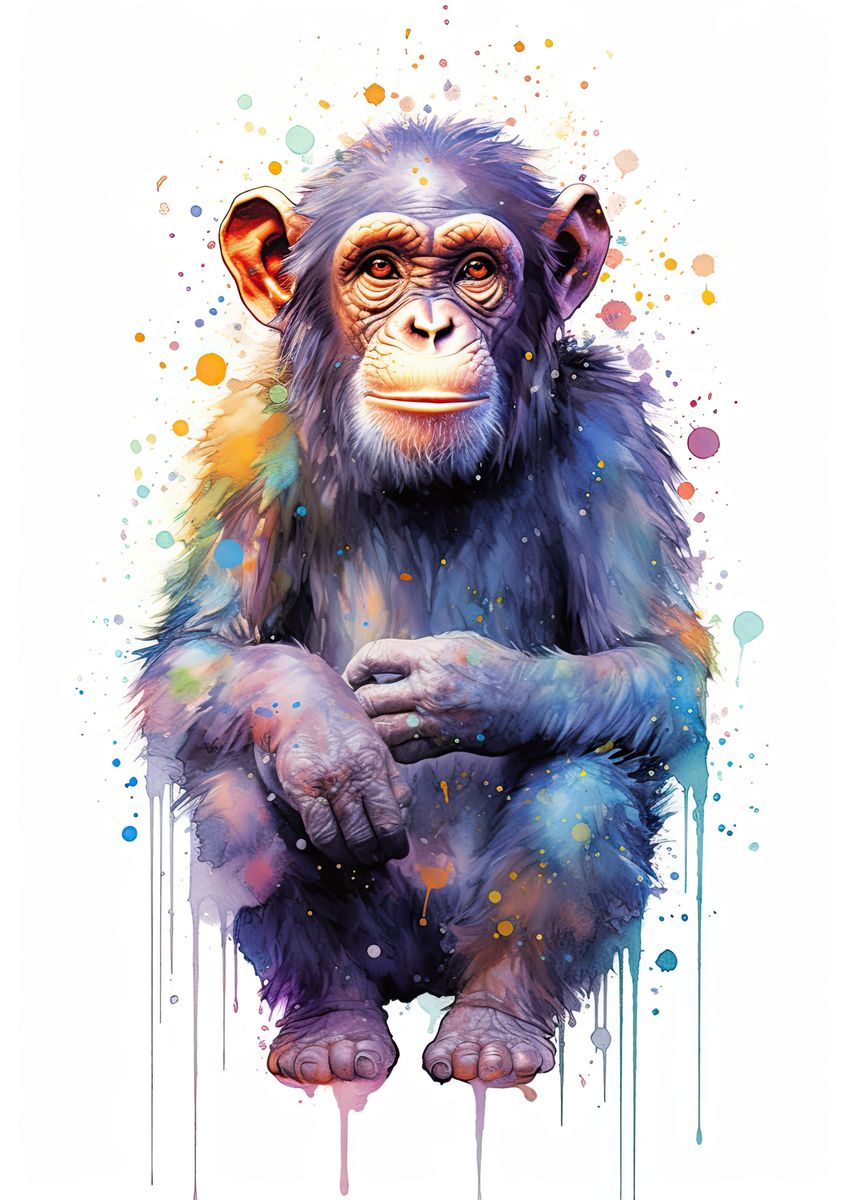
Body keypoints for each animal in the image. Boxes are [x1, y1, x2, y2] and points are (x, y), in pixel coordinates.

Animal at [135, 116, 710, 1094]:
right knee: (234, 780)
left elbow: (659, 663)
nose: (431, 325)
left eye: (476, 269)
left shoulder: (612, 435)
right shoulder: (252, 434)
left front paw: (461, 687)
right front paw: (324, 729)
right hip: (379, 939)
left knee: (589, 776)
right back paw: (333, 1032)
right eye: (380, 269)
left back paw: (491, 1032)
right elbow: (196, 652)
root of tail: (423, 976)